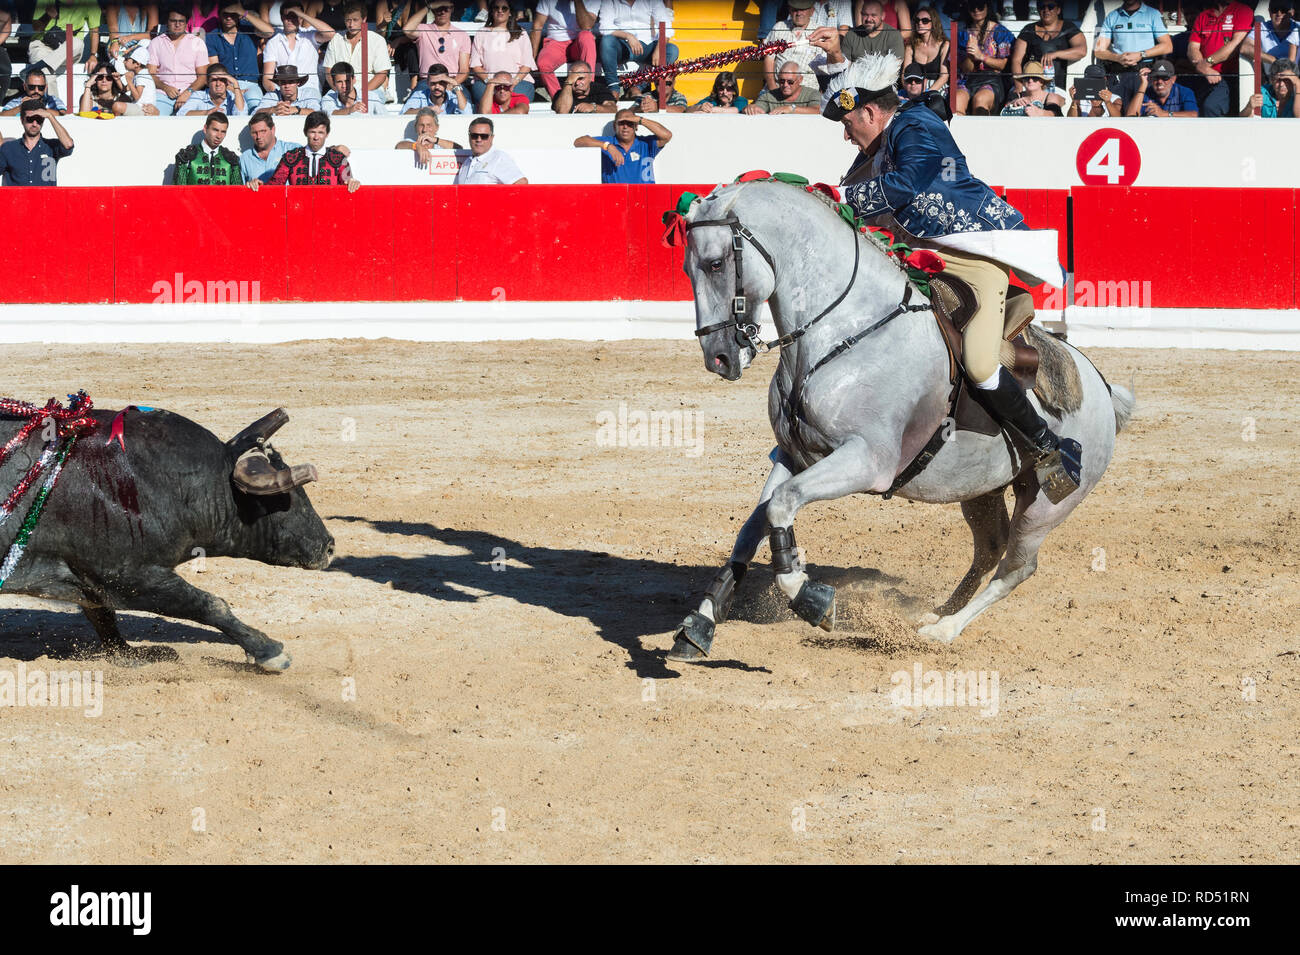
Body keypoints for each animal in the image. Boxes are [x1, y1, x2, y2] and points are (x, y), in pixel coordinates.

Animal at [0, 406, 333, 672]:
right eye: (286, 498)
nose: (329, 546)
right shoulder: (130, 576)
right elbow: (209, 605)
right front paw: (269, 650)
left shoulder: (90, 578)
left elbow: (103, 617)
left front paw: (130, 656)